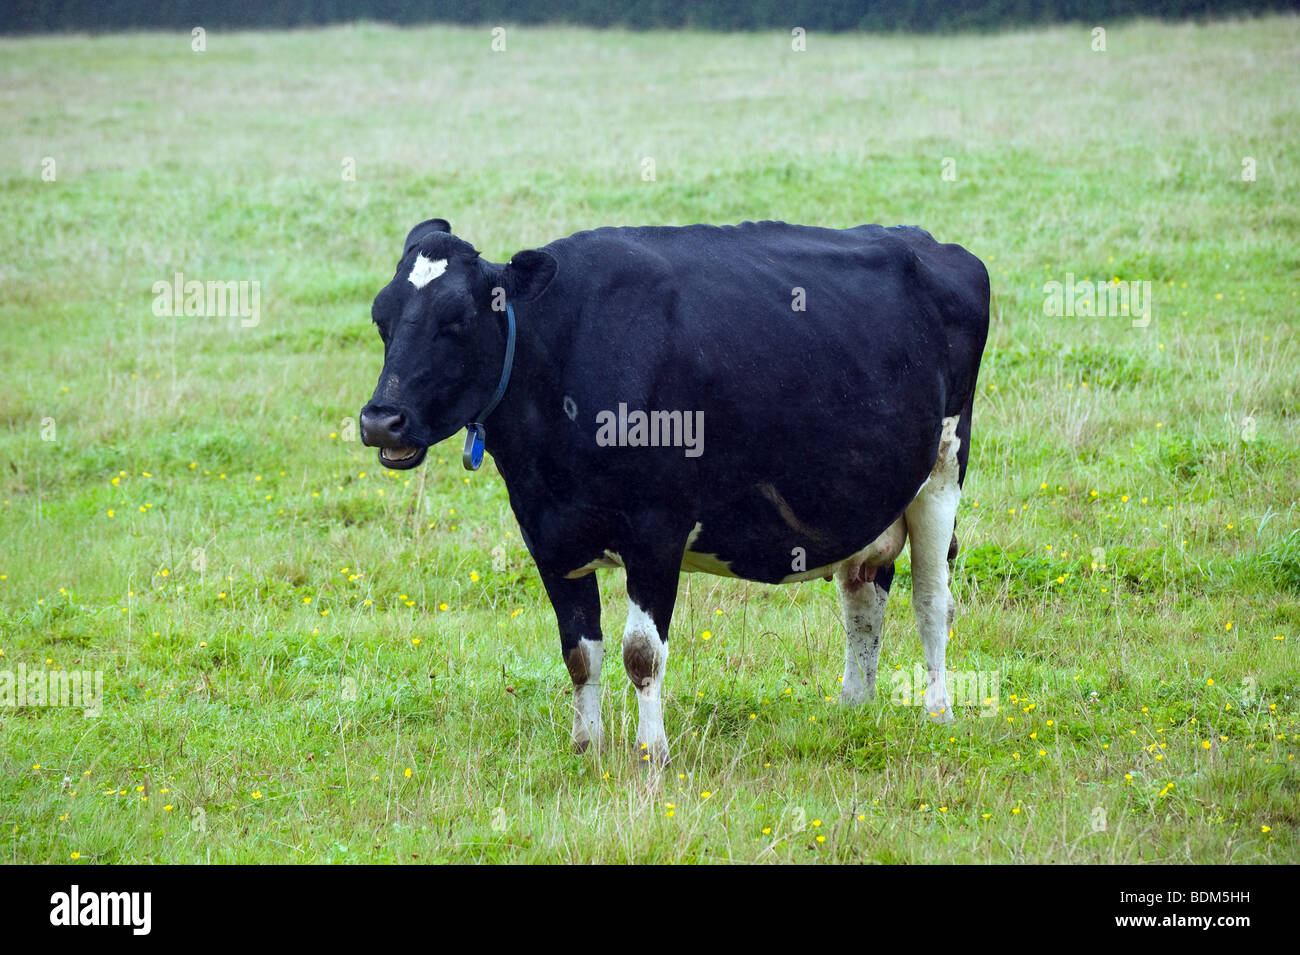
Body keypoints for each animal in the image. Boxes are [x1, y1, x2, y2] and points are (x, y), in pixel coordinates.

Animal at [359, 218, 989, 765]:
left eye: (457, 319)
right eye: (380, 318)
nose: (380, 421)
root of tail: (923, 239)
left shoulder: (656, 530)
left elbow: (641, 654)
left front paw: (651, 754)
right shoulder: (549, 536)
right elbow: (580, 655)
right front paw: (585, 748)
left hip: (941, 473)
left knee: (932, 600)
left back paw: (939, 711)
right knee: (862, 599)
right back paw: (852, 708)